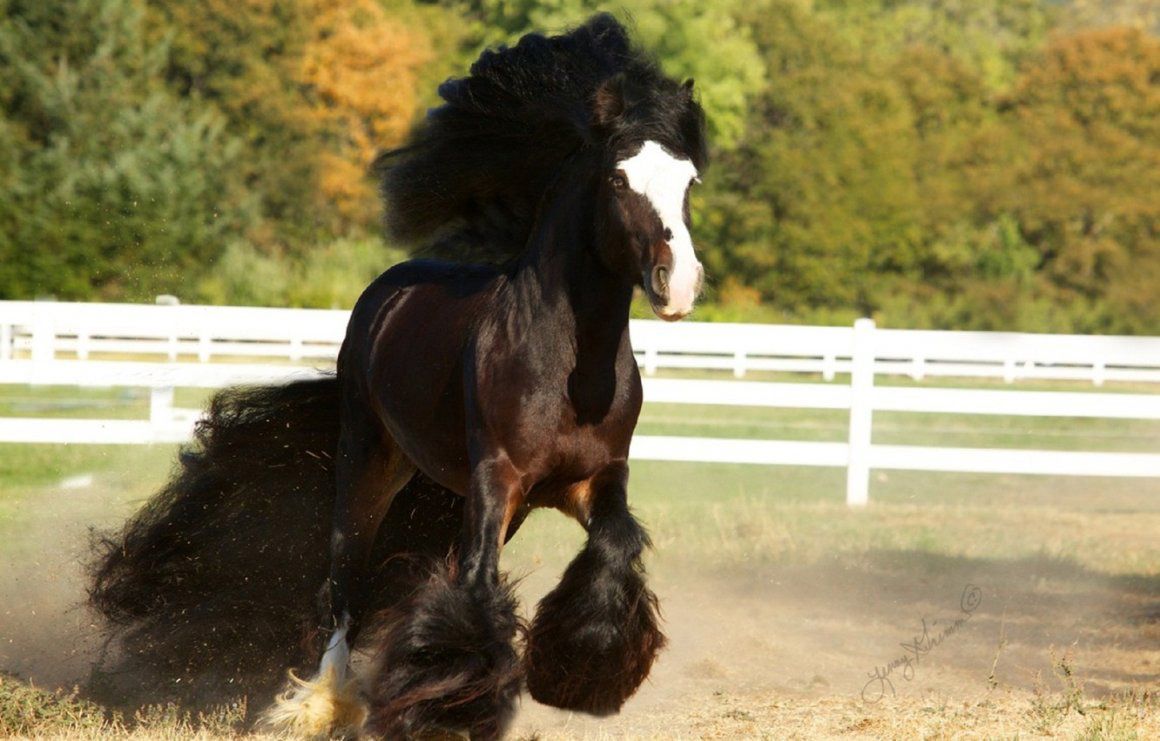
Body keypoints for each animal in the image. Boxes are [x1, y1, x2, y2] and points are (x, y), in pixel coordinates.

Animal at [89, 14, 707, 739]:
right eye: (618, 180)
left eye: (689, 182)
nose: (678, 285)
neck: (566, 365)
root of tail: (385, 294)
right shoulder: (498, 479)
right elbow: (473, 589)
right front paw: (448, 707)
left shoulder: (591, 480)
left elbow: (612, 551)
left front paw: (578, 676)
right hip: (371, 465)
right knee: (344, 581)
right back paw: (325, 702)